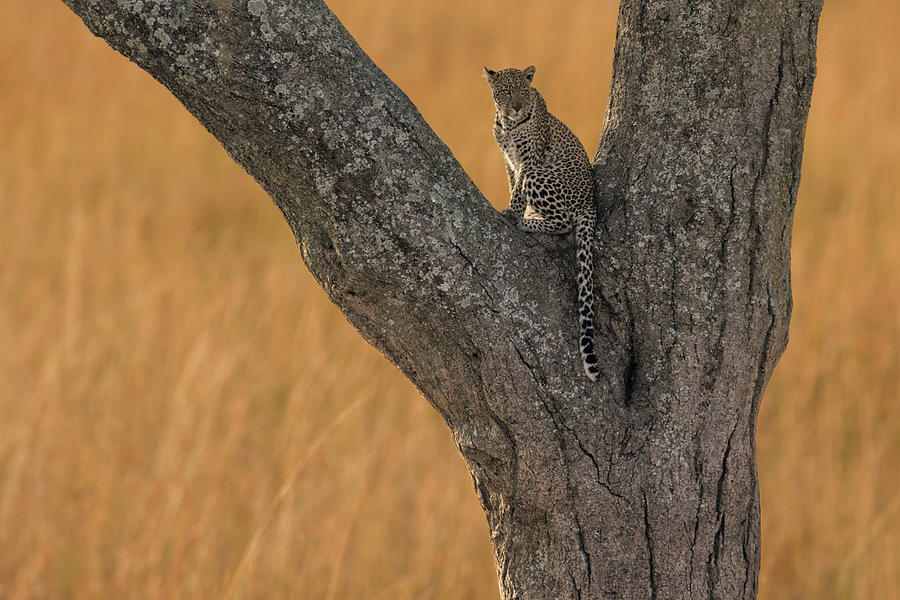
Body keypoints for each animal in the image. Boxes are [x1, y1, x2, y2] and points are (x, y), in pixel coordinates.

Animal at [483, 65, 599, 382]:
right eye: (505, 92)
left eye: (523, 91)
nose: (516, 106)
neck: (508, 126)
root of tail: (591, 202)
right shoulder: (509, 160)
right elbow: (512, 183)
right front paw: (516, 209)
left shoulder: (529, 161)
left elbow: (519, 189)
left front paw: (513, 213)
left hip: (542, 177)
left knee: (563, 222)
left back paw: (527, 223)